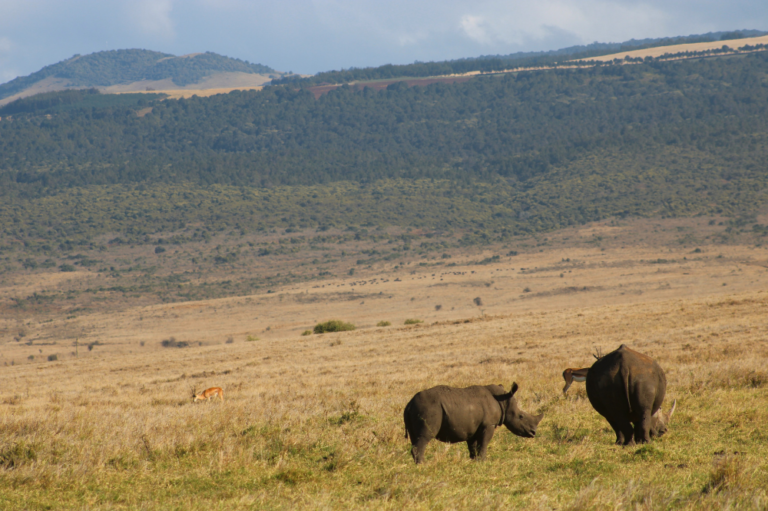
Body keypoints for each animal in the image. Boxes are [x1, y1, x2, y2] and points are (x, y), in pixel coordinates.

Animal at [403, 382, 543, 464]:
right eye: (521, 416)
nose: (533, 433)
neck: (503, 402)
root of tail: (409, 404)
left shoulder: (472, 426)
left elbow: (473, 445)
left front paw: (474, 461)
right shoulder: (488, 424)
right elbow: (483, 443)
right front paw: (483, 461)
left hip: (418, 409)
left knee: (415, 437)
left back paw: (417, 464)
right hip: (428, 408)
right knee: (425, 437)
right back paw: (423, 465)